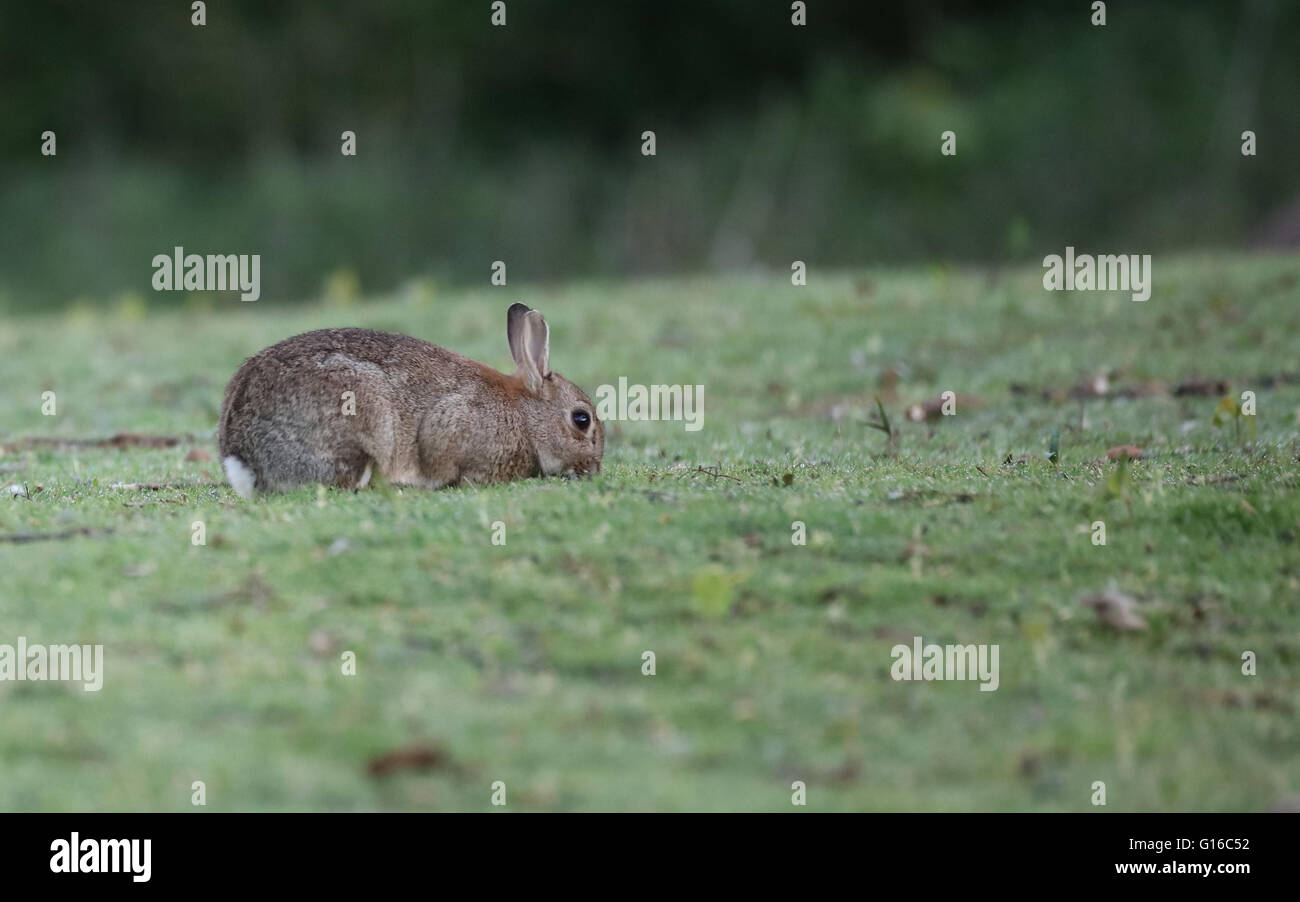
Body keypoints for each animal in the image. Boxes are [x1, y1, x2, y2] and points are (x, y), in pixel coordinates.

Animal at [218, 303, 603, 497]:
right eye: (581, 419)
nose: (594, 469)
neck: (525, 415)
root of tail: (243, 455)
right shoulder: (453, 425)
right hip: (361, 423)